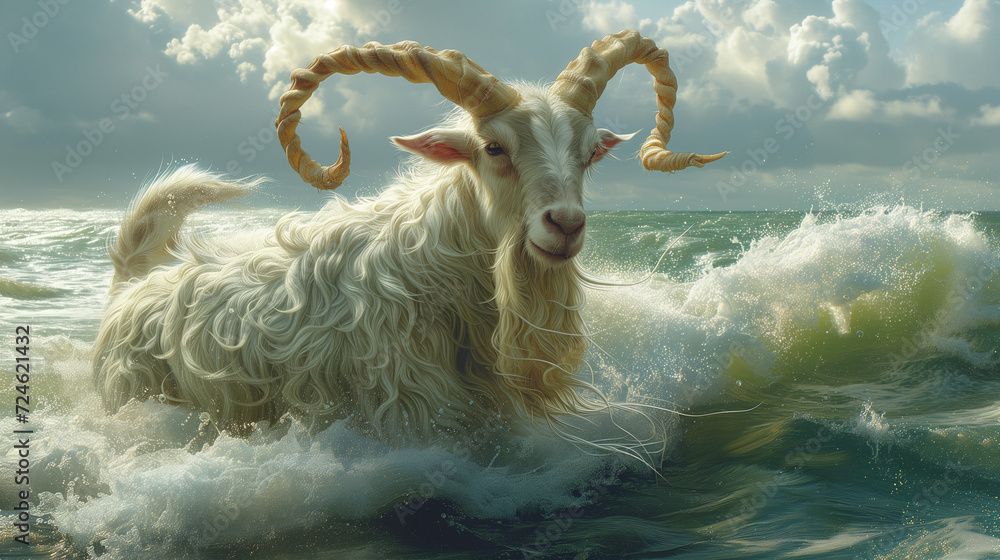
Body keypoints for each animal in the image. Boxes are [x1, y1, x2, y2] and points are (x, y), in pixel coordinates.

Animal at [92, 30, 724, 450]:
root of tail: (132, 282)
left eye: (591, 152)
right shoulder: (413, 414)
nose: (564, 225)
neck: (426, 271)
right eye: (493, 147)